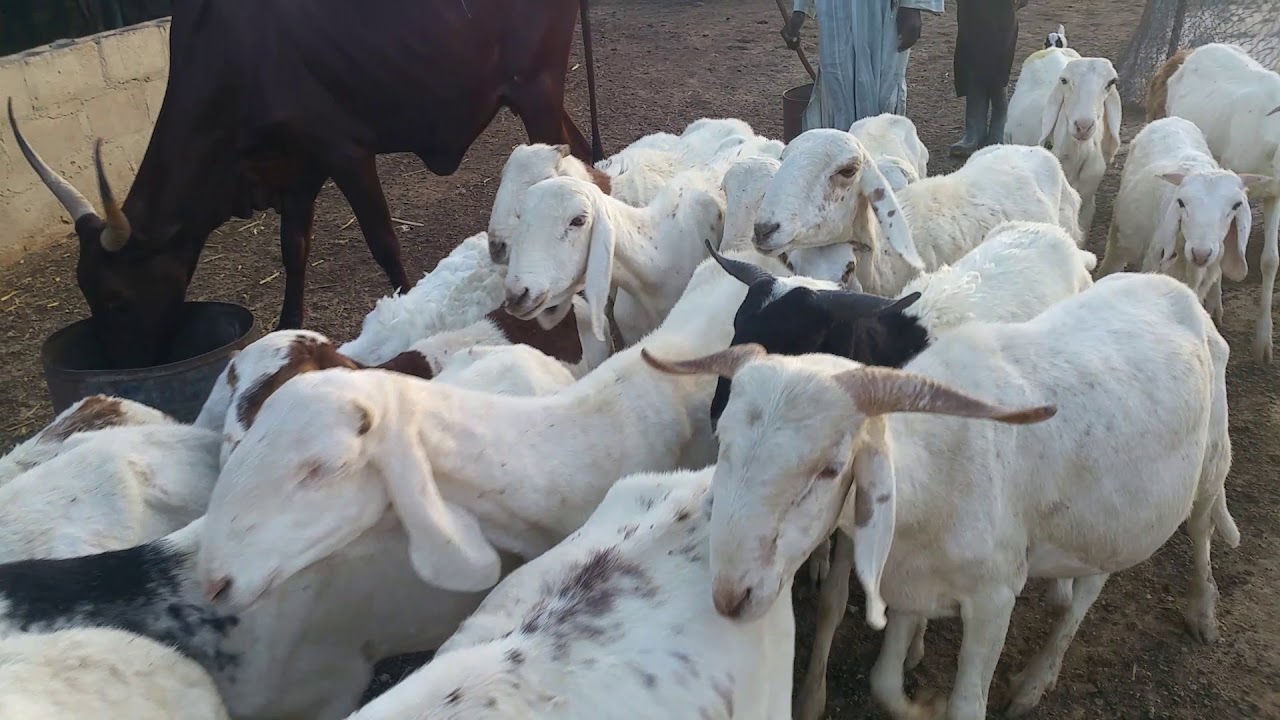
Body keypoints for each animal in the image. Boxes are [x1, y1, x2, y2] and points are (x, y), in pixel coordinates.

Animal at [642, 271, 1239, 720]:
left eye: (831, 468)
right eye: (724, 442)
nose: (730, 597)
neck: (933, 474)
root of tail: (1175, 288)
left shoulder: (994, 598)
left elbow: (965, 707)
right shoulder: (911, 583)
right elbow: (884, 683)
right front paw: (918, 701)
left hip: (1211, 462)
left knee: (1201, 529)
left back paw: (1199, 614)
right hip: (1112, 516)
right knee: (1094, 580)